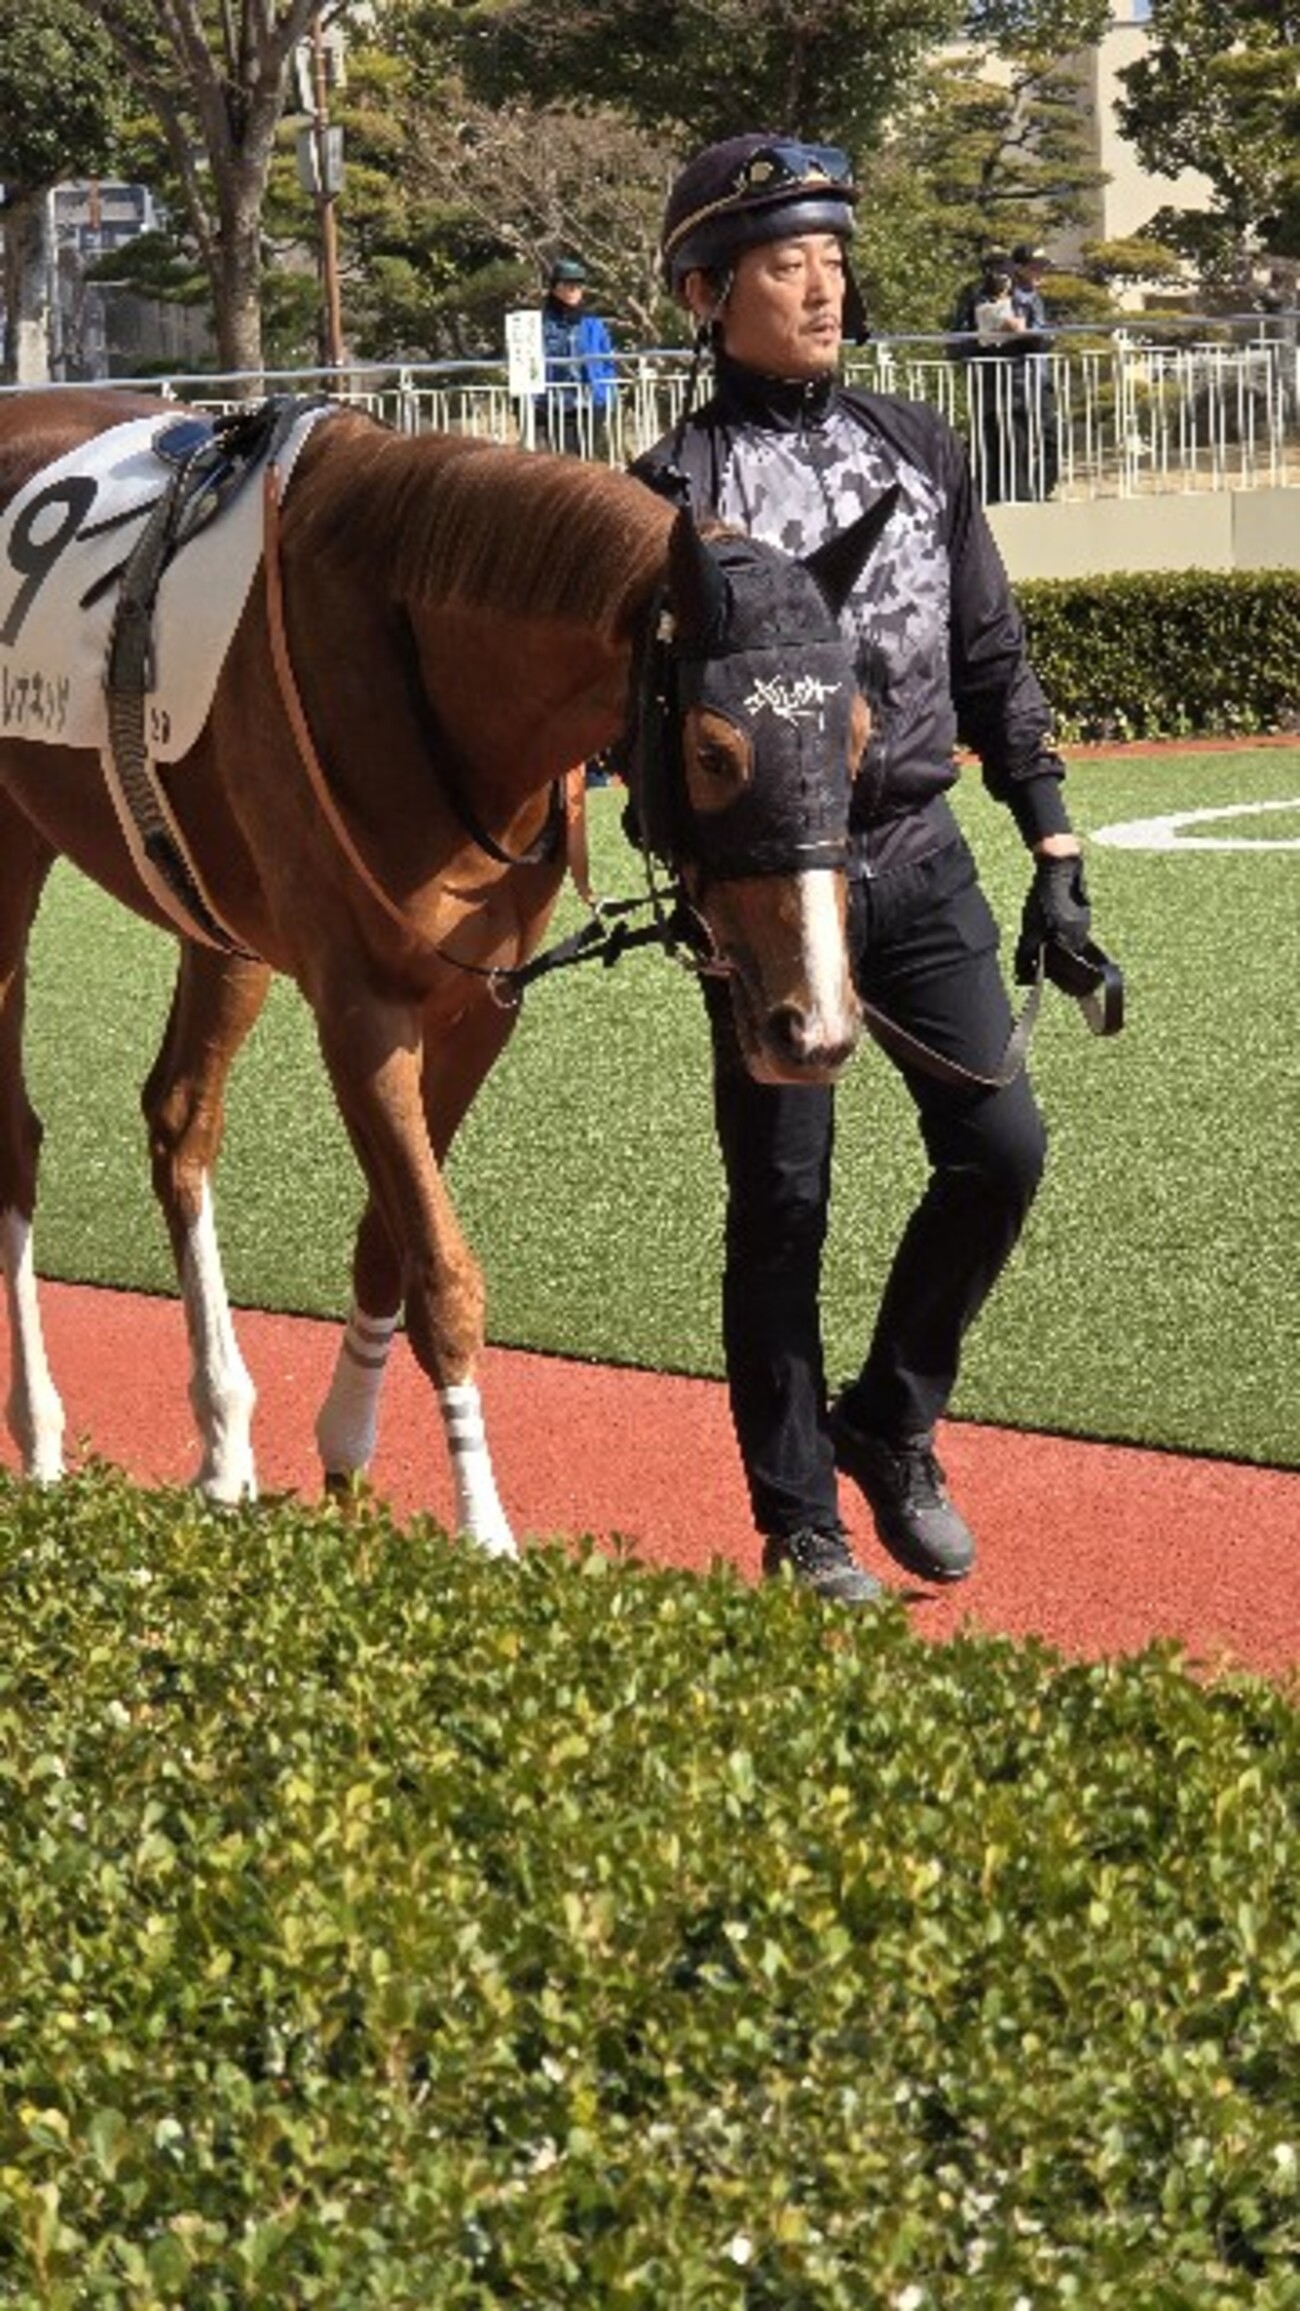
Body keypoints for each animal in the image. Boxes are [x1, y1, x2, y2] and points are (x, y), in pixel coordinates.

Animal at [0, 387, 892, 1555]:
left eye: (860, 734)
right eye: (712, 751)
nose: (817, 1025)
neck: (412, 649)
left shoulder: (478, 1003)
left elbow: (391, 1242)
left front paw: (345, 1449)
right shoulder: (360, 1006)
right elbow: (442, 1269)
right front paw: (484, 1532)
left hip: (212, 907)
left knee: (180, 1117)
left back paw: (223, 1442)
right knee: (14, 1138)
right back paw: (42, 1433)